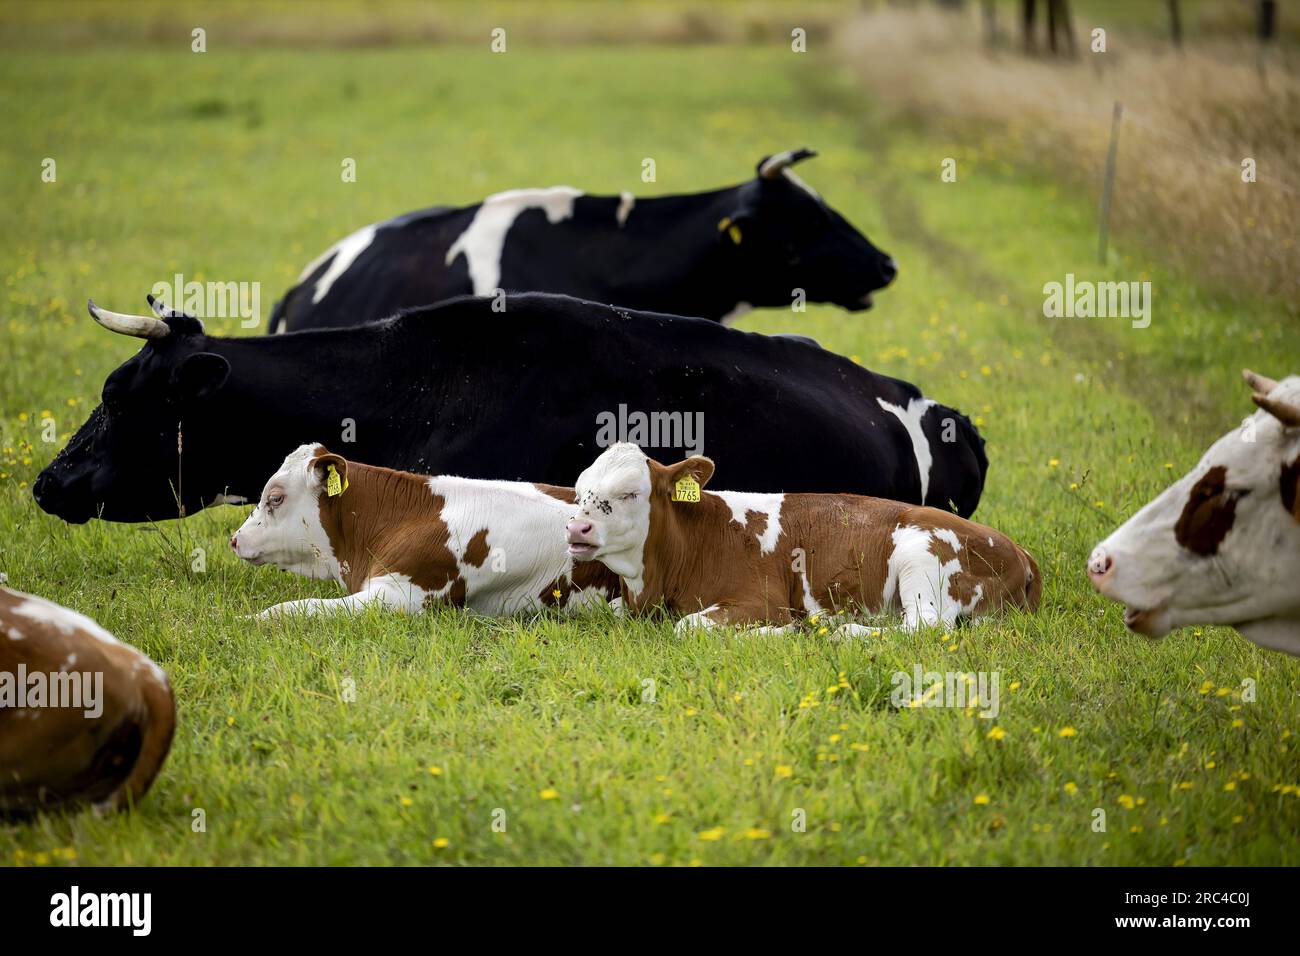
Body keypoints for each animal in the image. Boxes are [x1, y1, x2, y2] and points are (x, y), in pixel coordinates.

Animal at [564, 444, 1040, 634]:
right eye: (581, 489)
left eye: (630, 492)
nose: (575, 528)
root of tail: (1018, 550)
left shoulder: (762, 601)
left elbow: (689, 626)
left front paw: (785, 631)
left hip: (922, 556)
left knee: (923, 628)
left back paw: (840, 630)